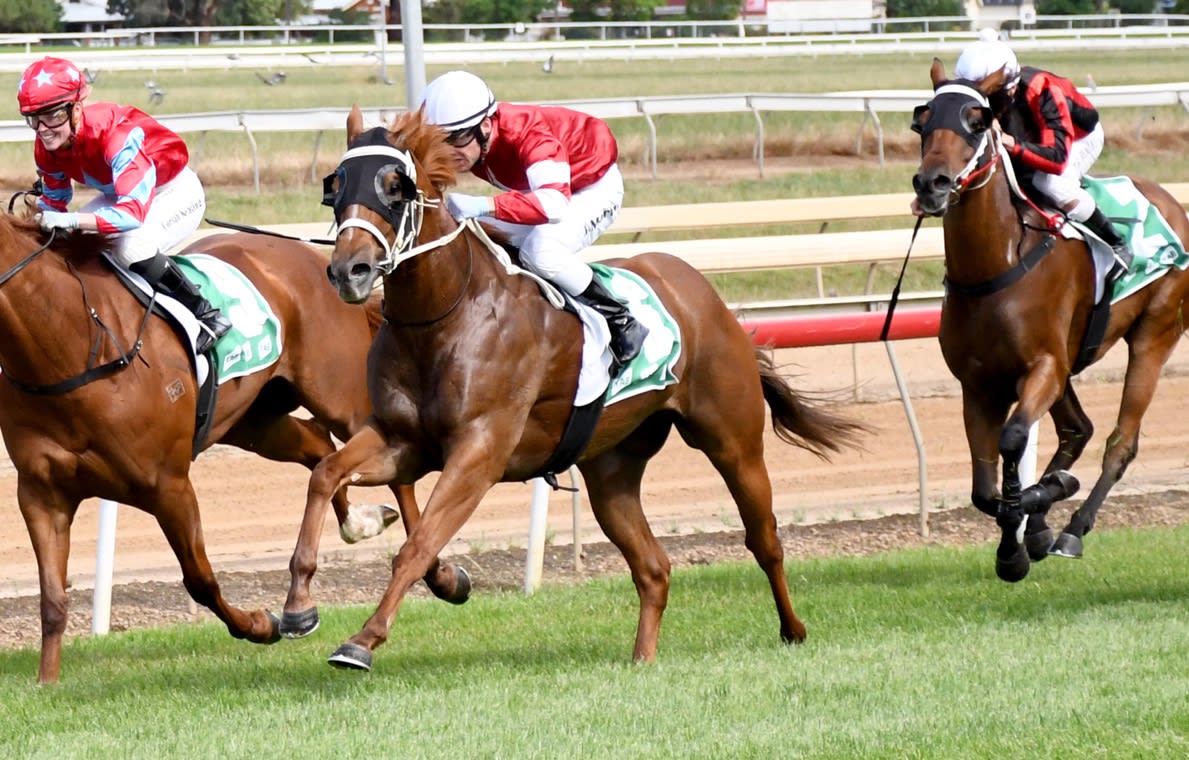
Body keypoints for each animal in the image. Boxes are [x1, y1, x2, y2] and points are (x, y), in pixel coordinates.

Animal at [0, 216, 471, 684]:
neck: (71, 345)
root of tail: (313, 257)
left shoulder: (168, 486)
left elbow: (200, 579)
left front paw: (261, 625)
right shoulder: (41, 495)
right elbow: (52, 600)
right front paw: (47, 682)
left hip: (341, 398)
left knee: (392, 473)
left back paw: (441, 576)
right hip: (253, 422)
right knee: (318, 448)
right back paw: (360, 523)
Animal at [277, 107, 866, 671]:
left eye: (396, 186)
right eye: (336, 184)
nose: (348, 270)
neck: (446, 314)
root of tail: (705, 294)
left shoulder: (478, 453)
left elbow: (418, 544)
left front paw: (362, 641)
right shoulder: (403, 441)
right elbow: (325, 474)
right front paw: (299, 606)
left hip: (732, 441)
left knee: (764, 540)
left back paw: (793, 630)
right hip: (612, 470)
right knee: (653, 568)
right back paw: (642, 659)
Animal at [910, 59, 1189, 582]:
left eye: (977, 121)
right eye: (921, 120)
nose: (931, 184)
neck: (995, 266)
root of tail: (1171, 202)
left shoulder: (1042, 368)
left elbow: (1014, 440)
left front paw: (1024, 533)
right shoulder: (979, 385)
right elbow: (985, 491)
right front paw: (1023, 537)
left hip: (1155, 335)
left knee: (1120, 442)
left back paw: (1072, 530)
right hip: (1070, 365)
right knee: (1079, 429)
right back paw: (1046, 522)